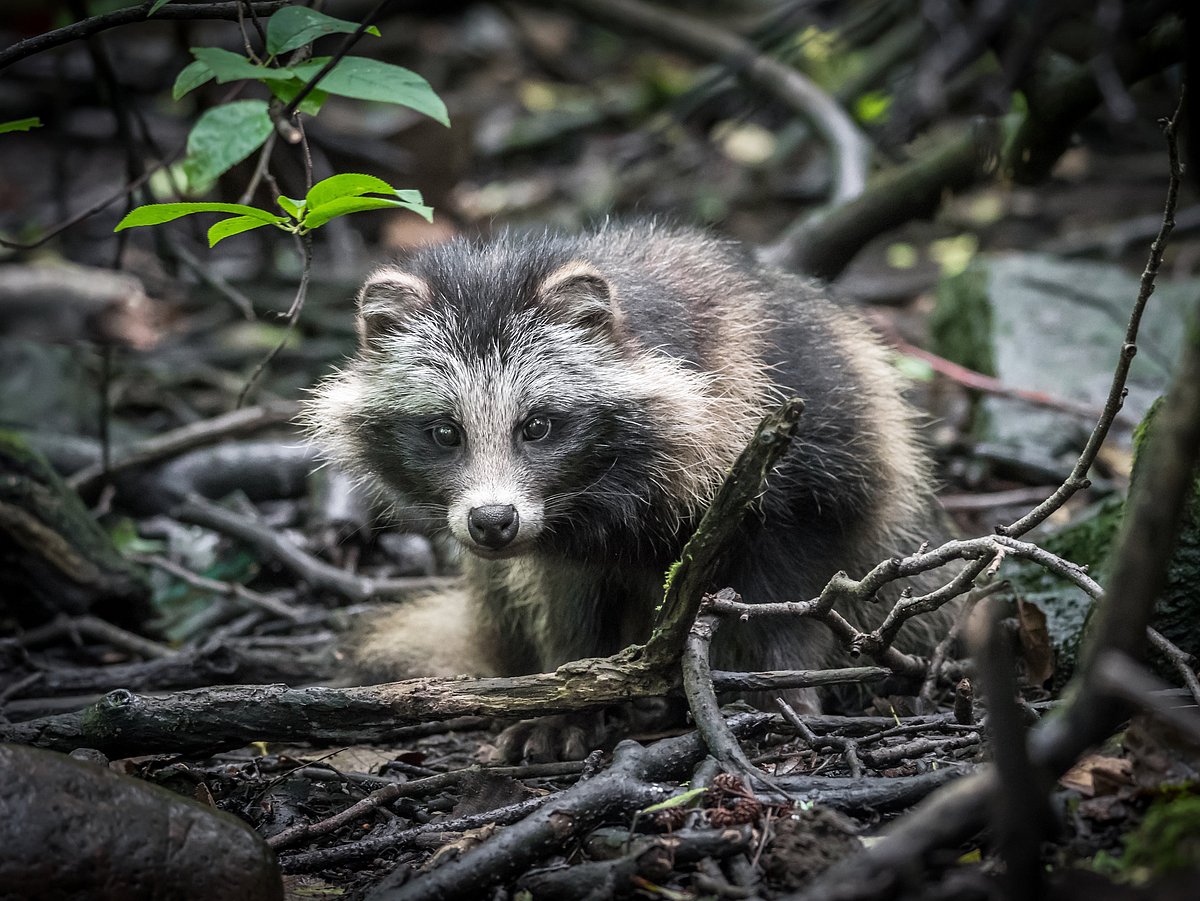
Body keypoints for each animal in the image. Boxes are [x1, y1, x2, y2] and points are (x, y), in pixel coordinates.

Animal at [306, 223, 951, 758]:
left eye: (537, 426)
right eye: (445, 432)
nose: (493, 520)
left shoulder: (811, 427)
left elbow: (796, 579)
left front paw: (782, 684)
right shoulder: (561, 533)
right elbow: (568, 598)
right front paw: (568, 696)